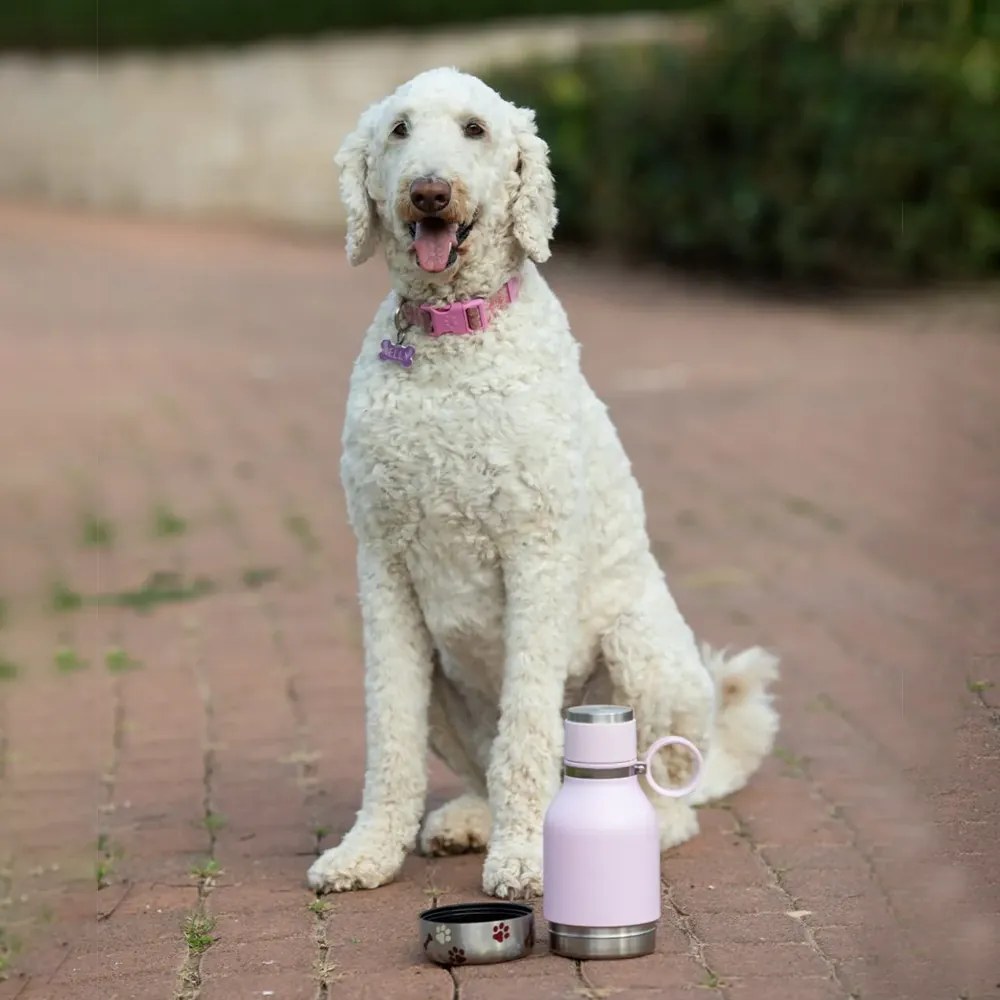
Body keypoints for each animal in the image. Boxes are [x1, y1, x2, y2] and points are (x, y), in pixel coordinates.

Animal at [308, 68, 776, 900]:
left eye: (474, 129)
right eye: (399, 129)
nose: (429, 192)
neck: (454, 337)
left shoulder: (536, 552)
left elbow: (526, 731)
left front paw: (526, 859)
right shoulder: (384, 566)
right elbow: (389, 737)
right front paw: (367, 852)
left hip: (642, 650)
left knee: (664, 790)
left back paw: (644, 823)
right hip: (442, 684)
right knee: (476, 765)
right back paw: (469, 820)